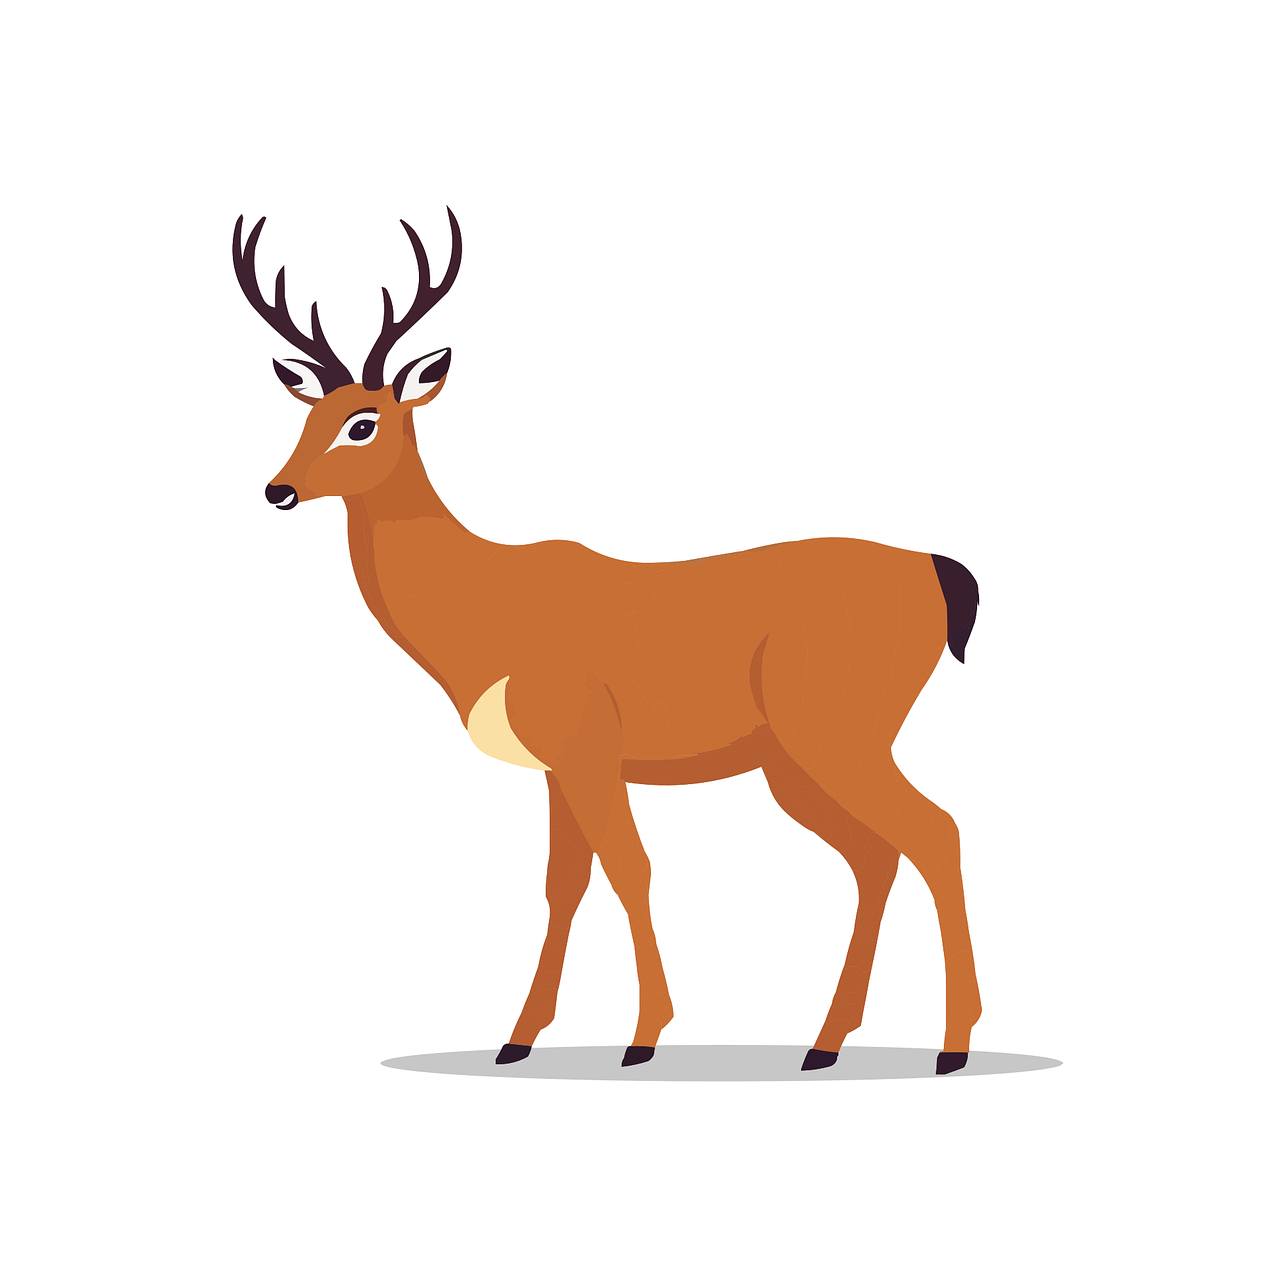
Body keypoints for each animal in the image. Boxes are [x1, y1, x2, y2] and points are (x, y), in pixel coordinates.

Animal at [232, 210, 983, 1075]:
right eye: (307, 414)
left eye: (364, 422)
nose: (278, 489)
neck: (483, 604)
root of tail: (939, 572)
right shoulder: (556, 767)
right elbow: (564, 882)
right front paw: (518, 1036)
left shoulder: (586, 741)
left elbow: (631, 867)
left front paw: (644, 1034)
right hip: (793, 761)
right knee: (875, 855)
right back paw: (824, 1043)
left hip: (836, 731)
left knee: (935, 832)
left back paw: (952, 1045)